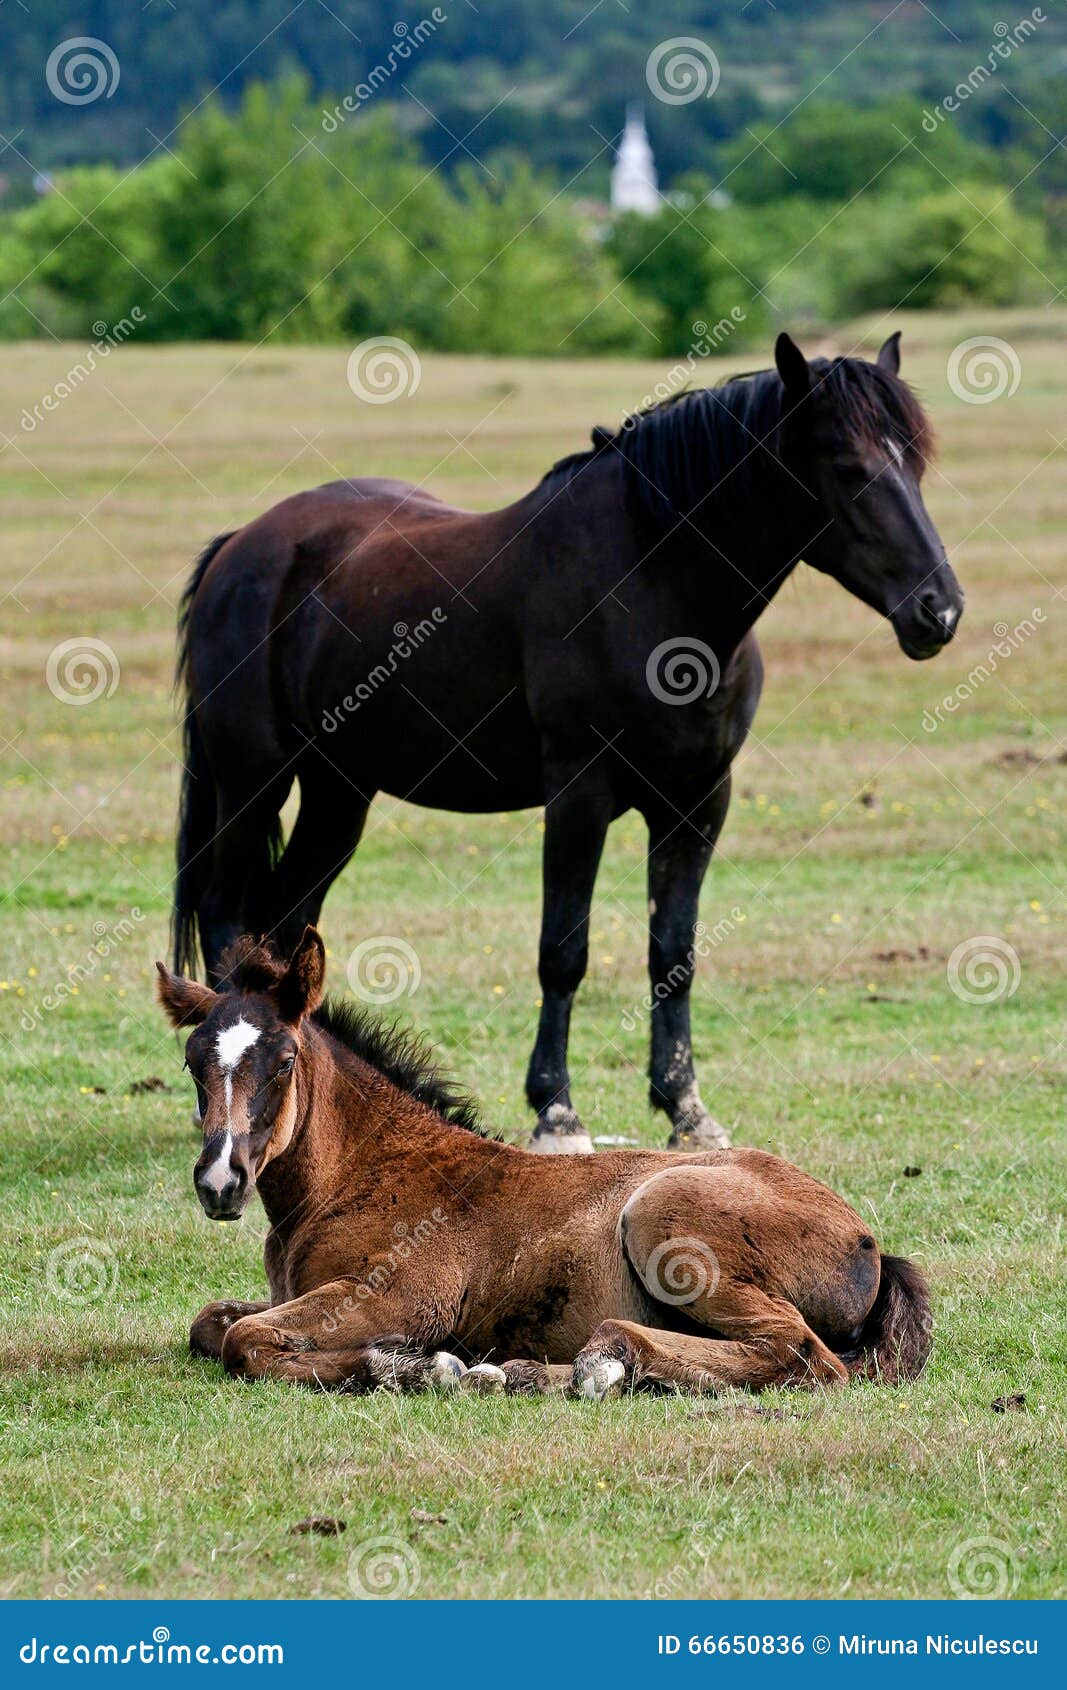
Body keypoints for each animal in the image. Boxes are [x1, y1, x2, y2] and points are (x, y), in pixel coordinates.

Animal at [156, 927, 933, 1399]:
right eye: (193, 1063)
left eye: (284, 1061)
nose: (220, 1182)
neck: (359, 1174)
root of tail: (868, 1240)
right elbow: (211, 1322)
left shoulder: (397, 1295)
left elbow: (245, 1341)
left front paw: (414, 1366)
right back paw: (534, 1371)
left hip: (662, 1217)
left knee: (801, 1353)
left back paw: (603, 1358)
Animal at [171, 331, 963, 1155]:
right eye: (848, 468)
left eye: (915, 463)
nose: (939, 611)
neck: (653, 581)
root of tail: (241, 547)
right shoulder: (579, 797)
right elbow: (563, 953)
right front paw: (556, 1111)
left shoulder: (697, 802)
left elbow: (672, 952)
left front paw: (686, 1110)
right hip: (251, 781)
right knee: (229, 920)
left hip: (339, 793)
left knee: (286, 918)